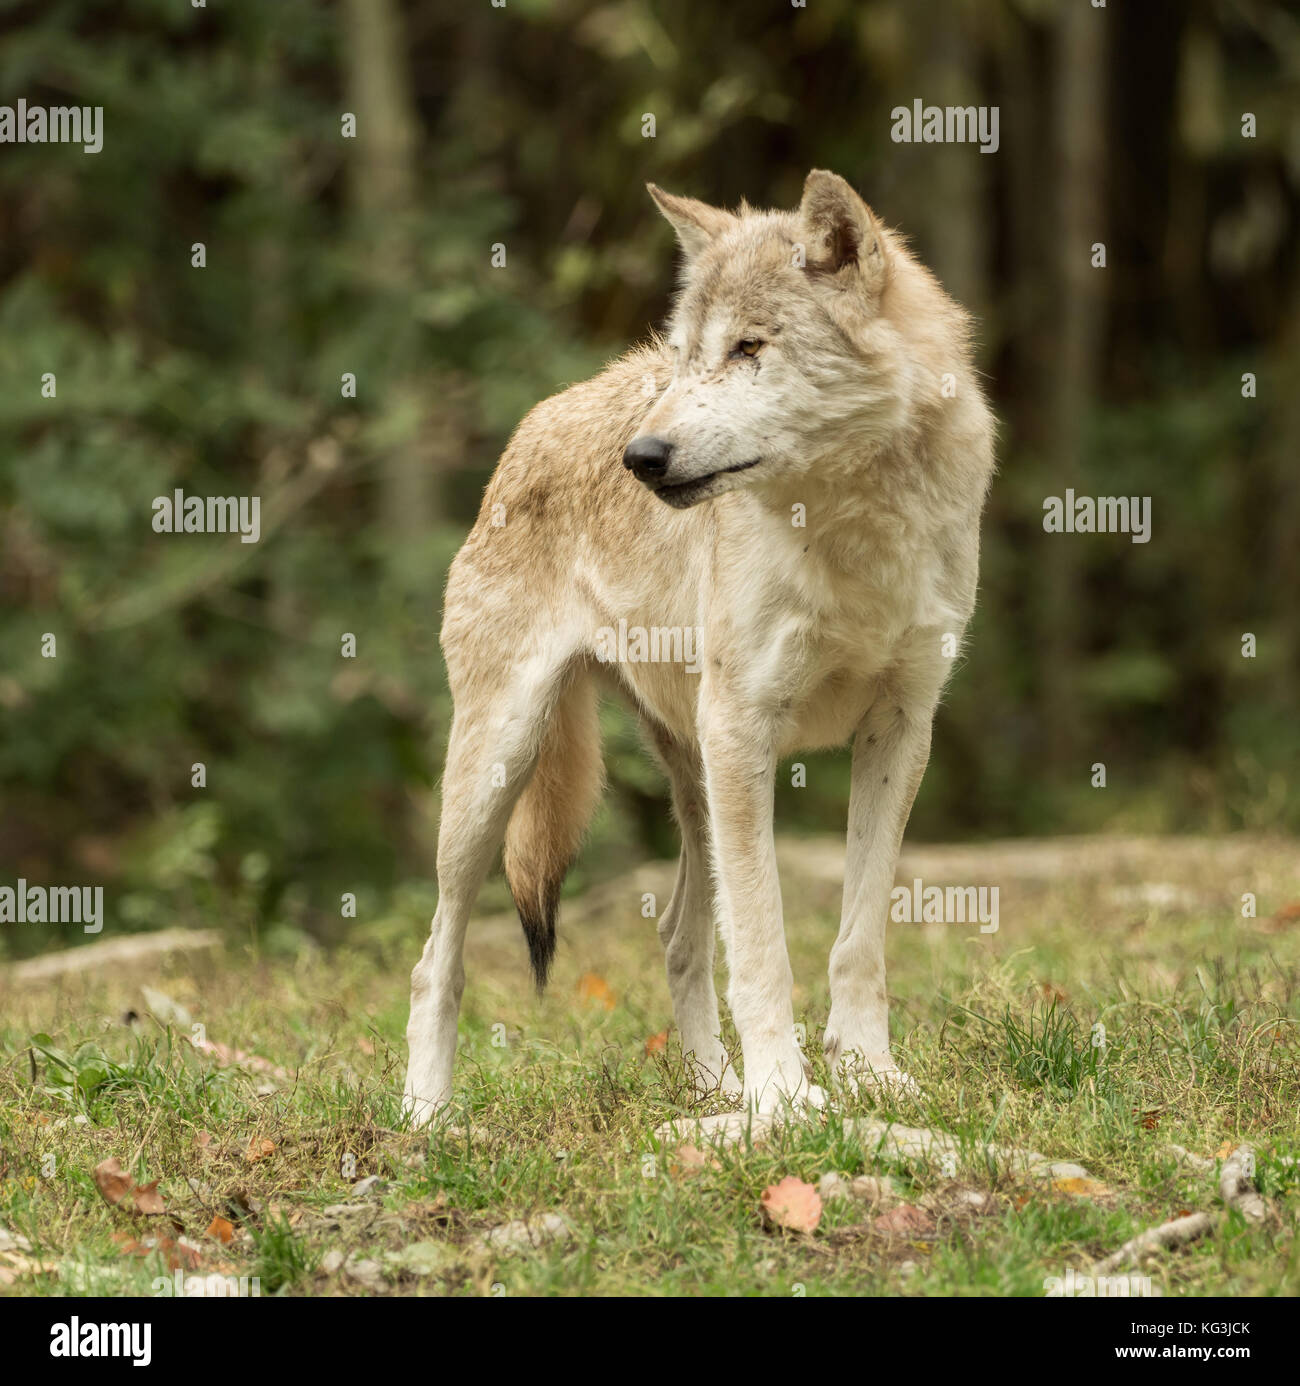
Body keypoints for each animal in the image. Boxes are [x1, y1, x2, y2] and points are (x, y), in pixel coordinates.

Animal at [403, 170, 995, 1125]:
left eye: (750, 348)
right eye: (688, 356)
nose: (641, 456)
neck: (851, 532)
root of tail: (538, 419)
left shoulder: (902, 730)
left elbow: (857, 939)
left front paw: (867, 1075)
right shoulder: (745, 729)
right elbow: (763, 945)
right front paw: (784, 1098)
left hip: (694, 783)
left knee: (678, 935)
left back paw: (714, 1090)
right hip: (500, 770)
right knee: (436, 958)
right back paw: (428, 1116)